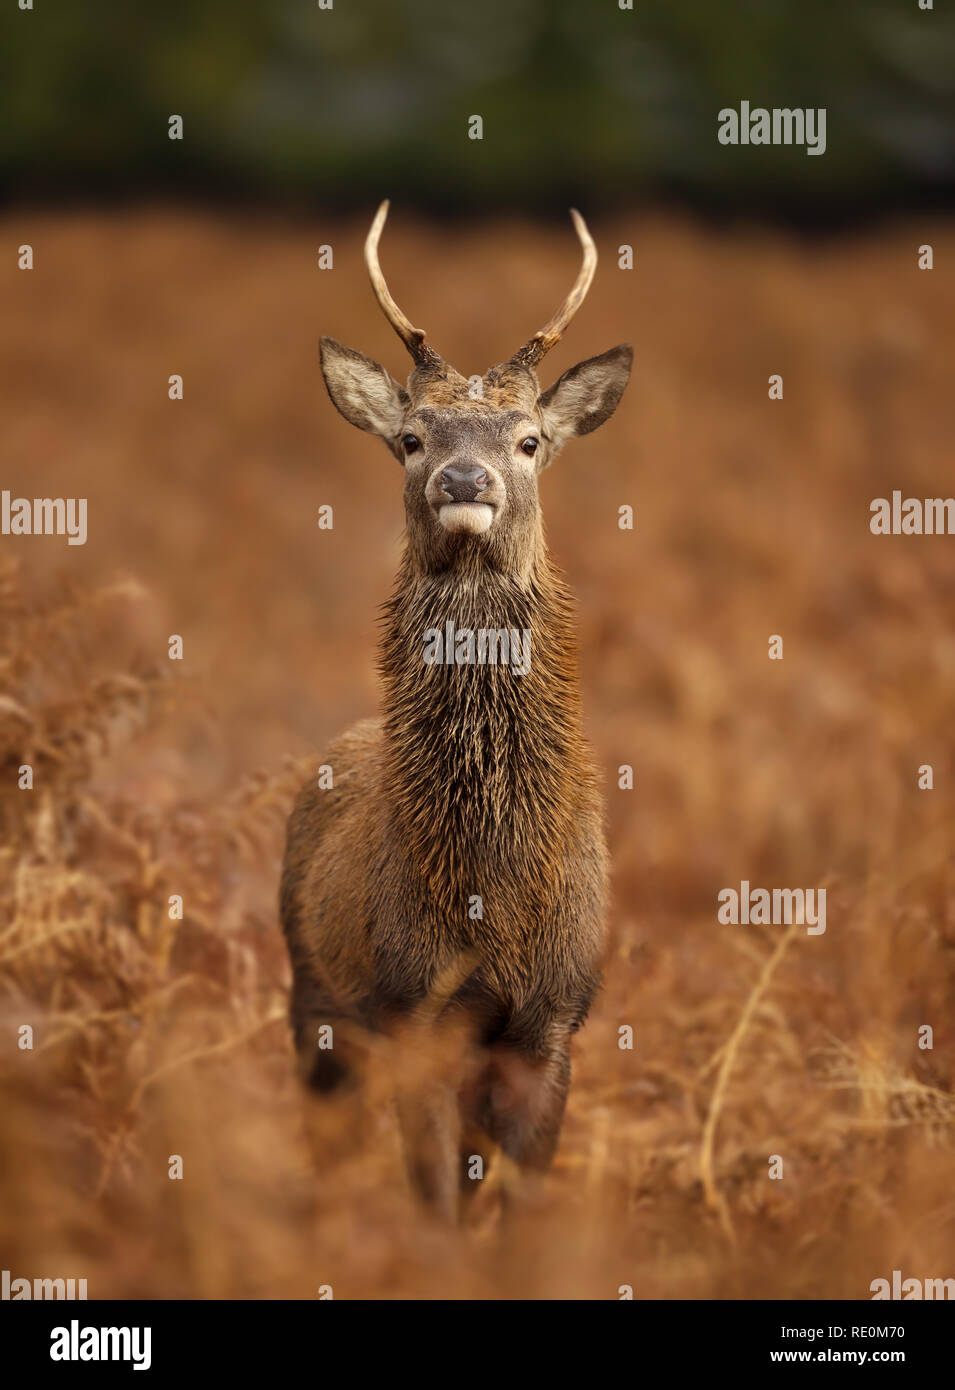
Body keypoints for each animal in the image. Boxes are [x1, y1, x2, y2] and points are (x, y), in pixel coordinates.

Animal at [280, 202, 631, 1220]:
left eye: (527, 439)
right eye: (411, 438)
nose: (464, 480)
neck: (492, 887)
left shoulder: (553, 1019)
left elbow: (512, 1207)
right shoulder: (414, 1009)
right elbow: (436, 1205)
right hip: (311, 995)